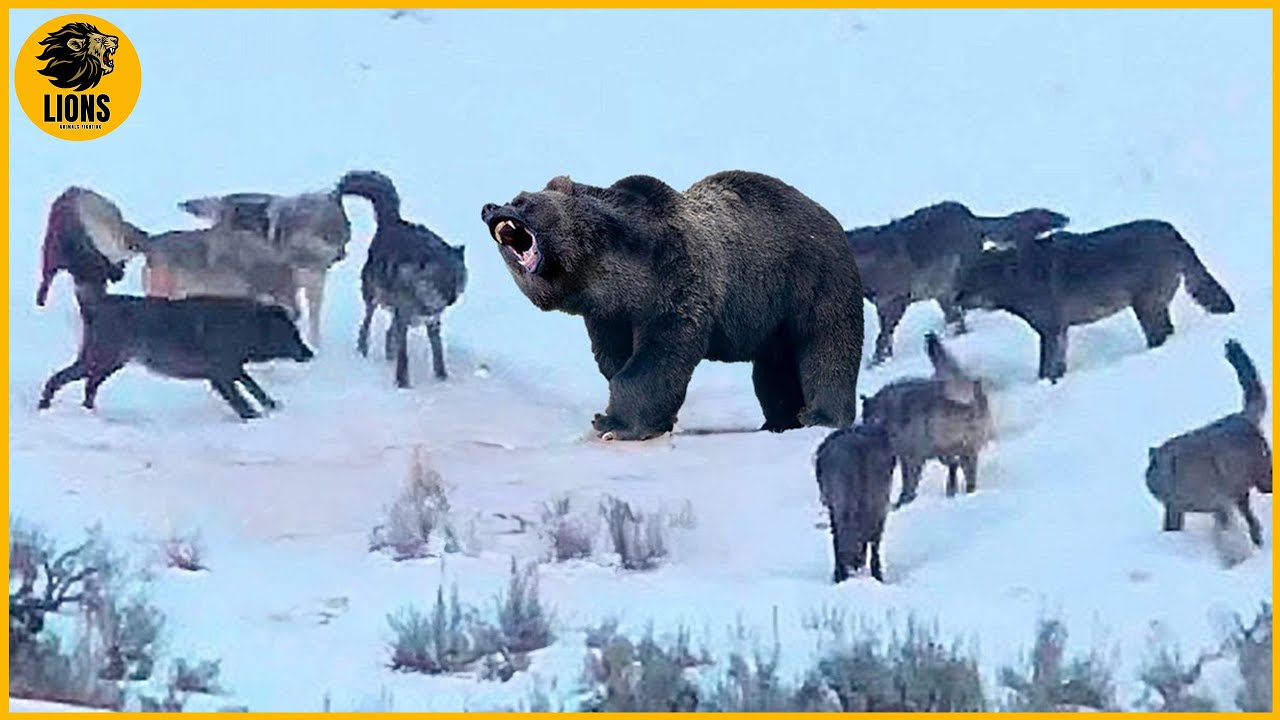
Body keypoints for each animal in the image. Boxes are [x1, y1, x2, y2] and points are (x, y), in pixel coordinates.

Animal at [481, 171, 864, 440]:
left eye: (522, 200)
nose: (489, 207)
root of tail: (824, 213)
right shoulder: (608, 314)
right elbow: (614, 360)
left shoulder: (675, 278)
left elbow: (658, 355)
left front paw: (614, 423)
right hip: (772, 319)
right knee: (773, 370)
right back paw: (779, 419)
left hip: (812, 280)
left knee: (826, 346)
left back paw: (818, 415)